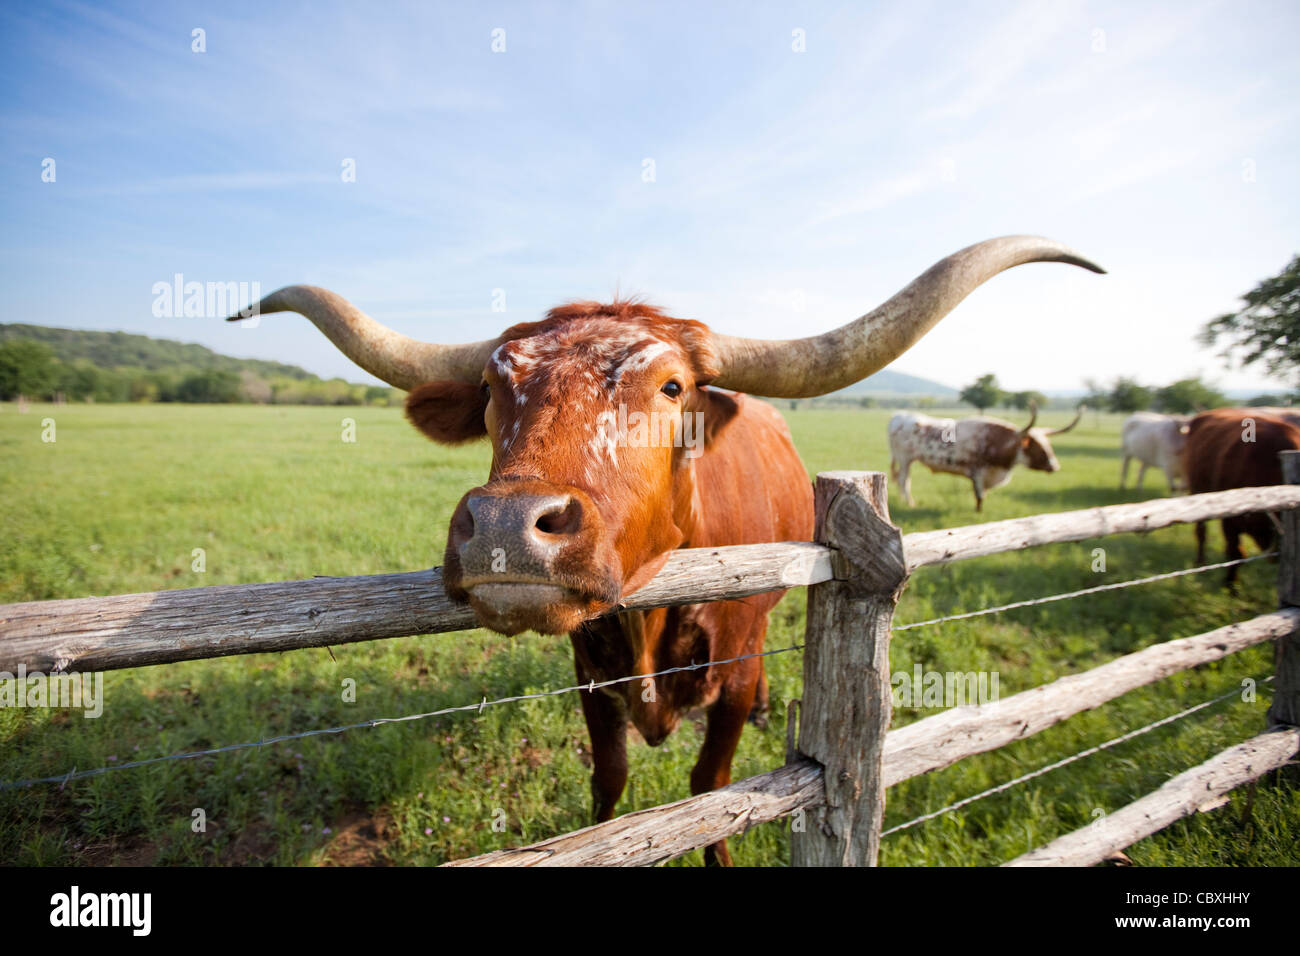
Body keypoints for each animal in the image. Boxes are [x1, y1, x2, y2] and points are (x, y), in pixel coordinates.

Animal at [888, 404, 1083, 511]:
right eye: (1038, 447)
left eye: (1049, 445)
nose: (1054, 466)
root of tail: (898, 416)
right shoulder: (979, 472)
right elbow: (980, 496)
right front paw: (978, 512)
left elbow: (983, 495)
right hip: (904, 458)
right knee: (904, 481)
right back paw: (909, 503)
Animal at [1183, 408, 1300, 588]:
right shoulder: (1230, 520)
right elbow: (1236, 554)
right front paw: (1230, 587)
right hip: (1197, 489)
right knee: (1201, 531)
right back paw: (1200, 563)